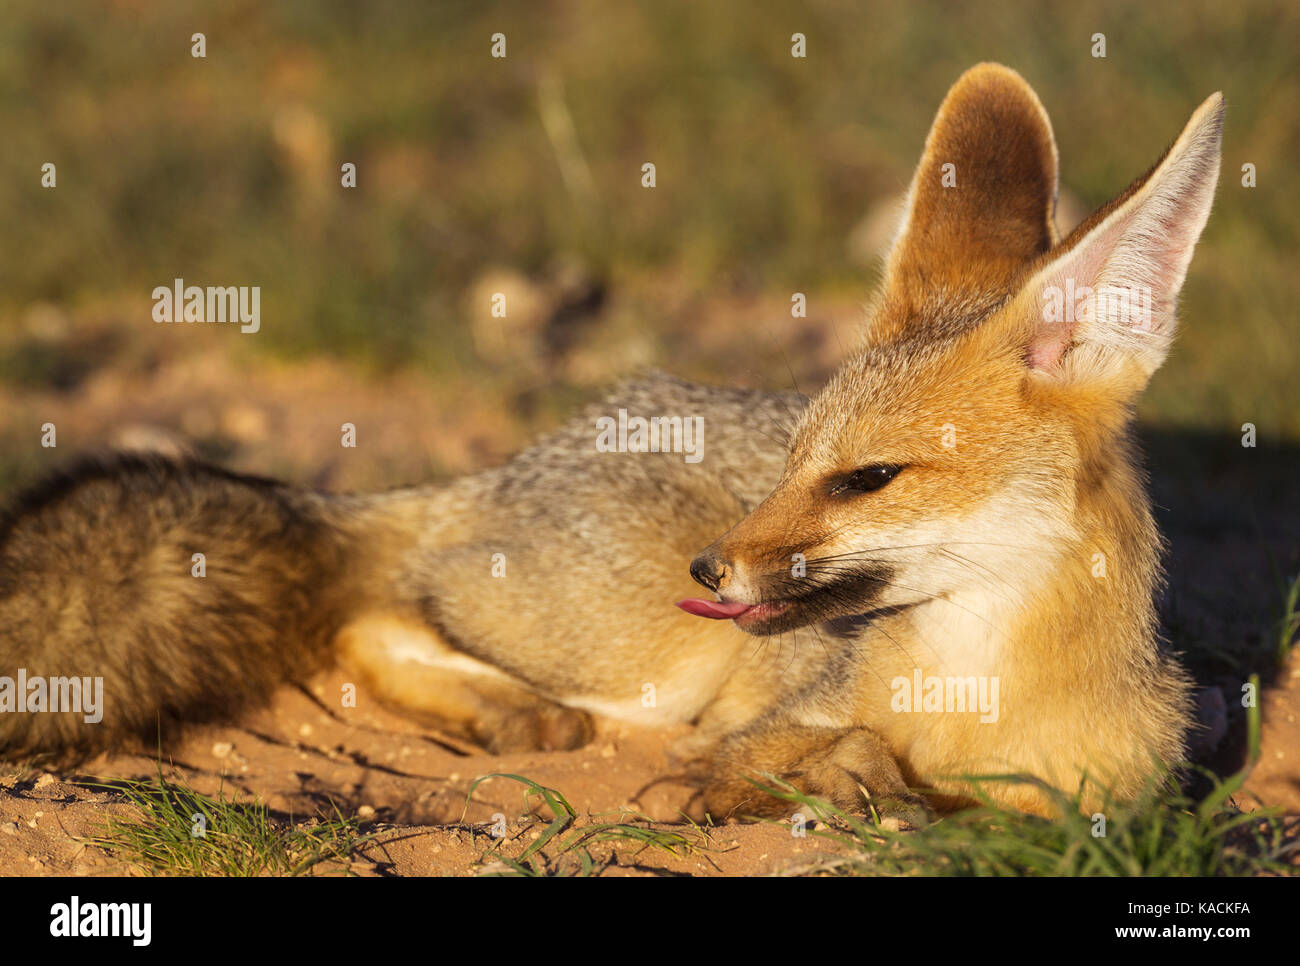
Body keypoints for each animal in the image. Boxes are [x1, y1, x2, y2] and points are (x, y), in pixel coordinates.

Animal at [0, 64, 1223, 822]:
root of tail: (520, 457)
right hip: (654, 665)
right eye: (795, 460)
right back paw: (507, 707)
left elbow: (939, 795)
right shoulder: (772, 710)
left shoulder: (1100, 810)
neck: (973, 698)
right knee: (370, 614)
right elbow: (793, 754)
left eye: (866, 478)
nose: (713, 566)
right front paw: (745, 787)